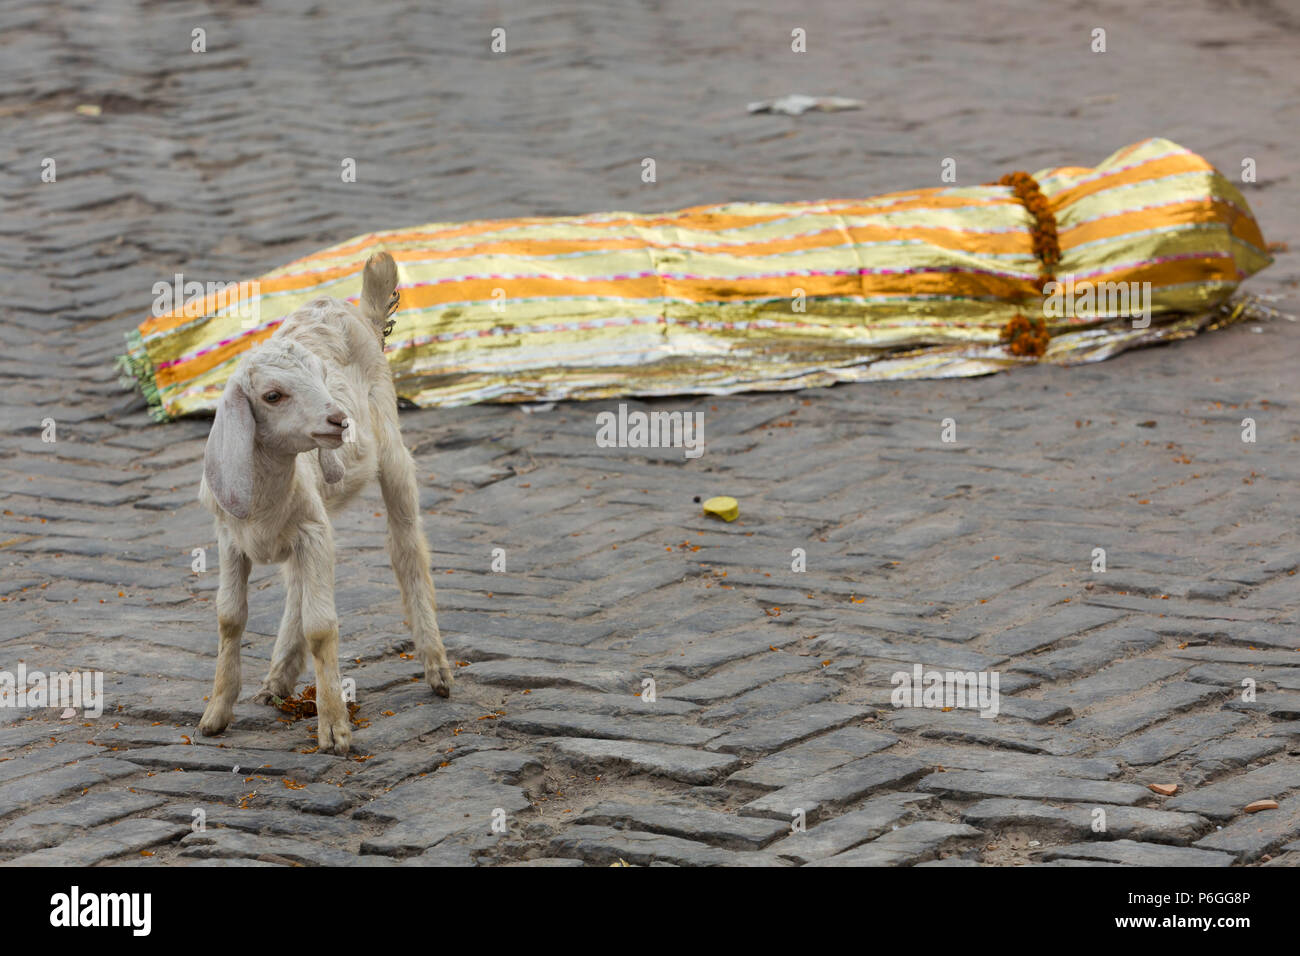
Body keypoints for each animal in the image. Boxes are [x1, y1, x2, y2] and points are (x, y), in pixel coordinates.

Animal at [196, 251, 453, 755]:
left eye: (320, 379)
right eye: (272, 396)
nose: (339, 420)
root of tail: (355, 311)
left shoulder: (312, 532)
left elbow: (321, 625)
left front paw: (334, 728)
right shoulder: (233, 539)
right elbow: (229, 617)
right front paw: (216, 713)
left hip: (391, 450)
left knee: (408, 551)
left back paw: (436, 668)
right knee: (297, 584)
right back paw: (277, 679)